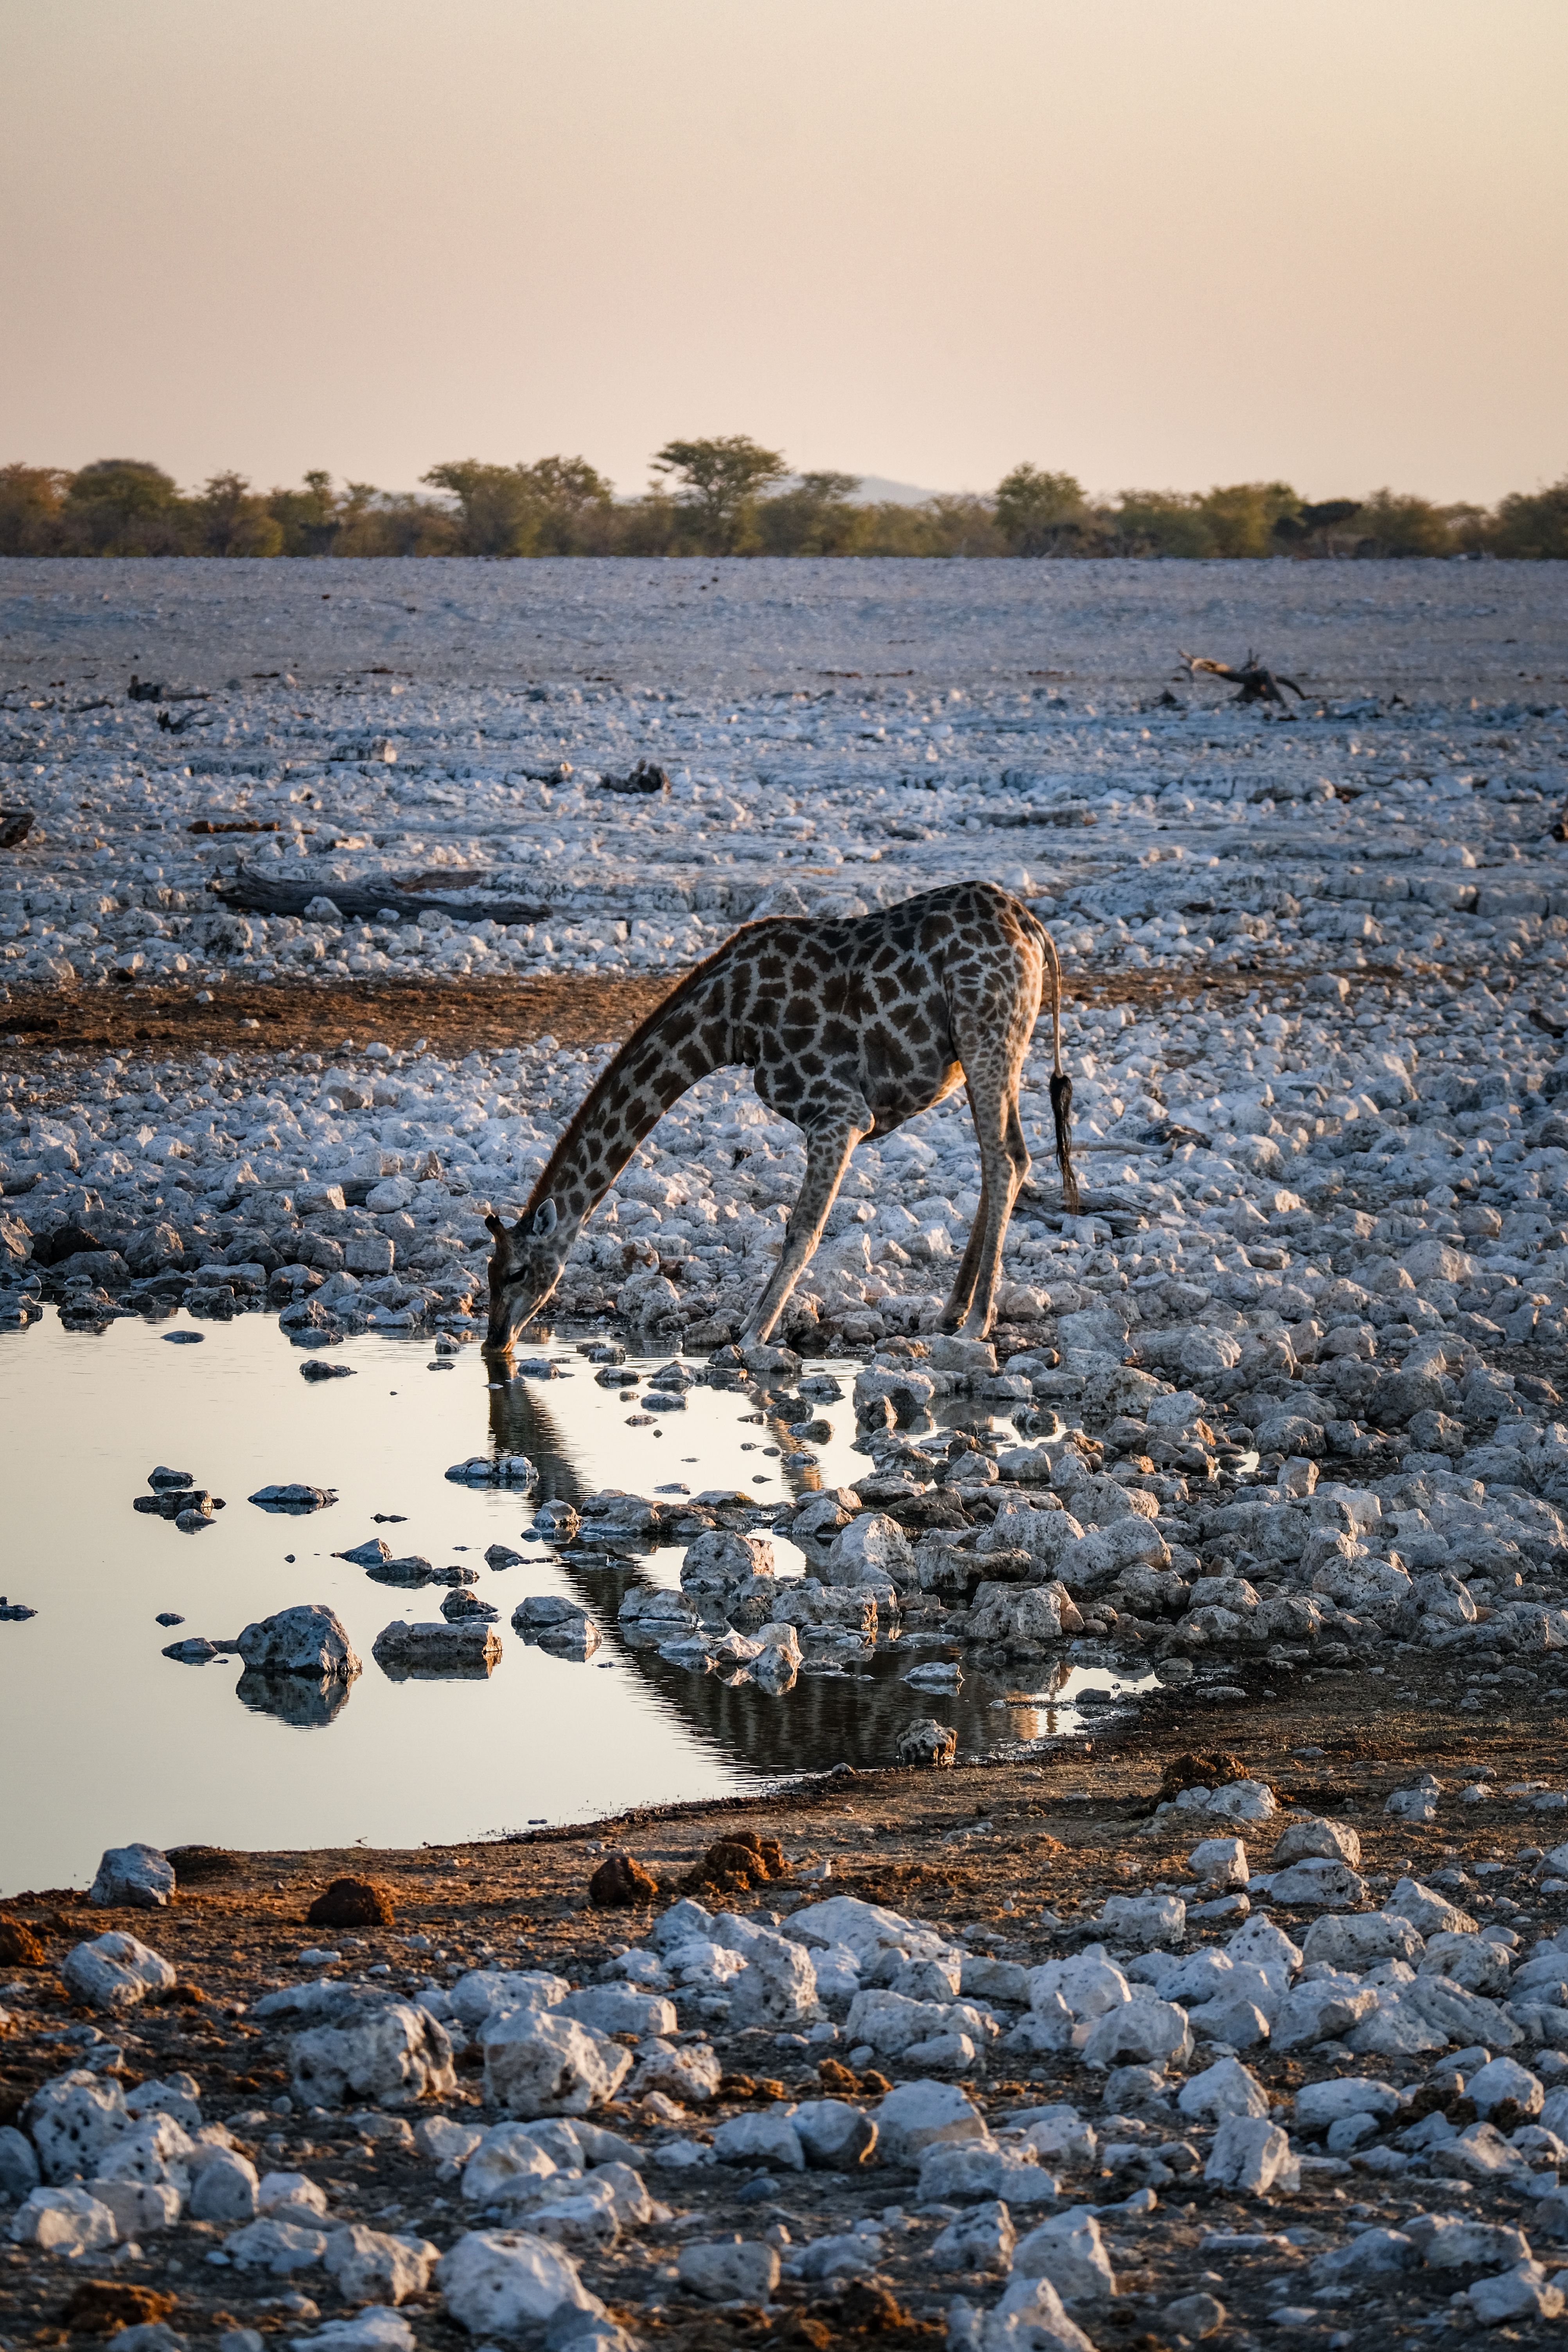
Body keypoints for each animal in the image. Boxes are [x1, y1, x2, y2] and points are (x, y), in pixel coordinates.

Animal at [485, 880, 1078, 1352]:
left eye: (515, 1272)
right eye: (487, 1273)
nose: (495, 1342)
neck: (727, 1024)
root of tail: (1033, 929)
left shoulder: (839, 1113)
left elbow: (801, 1229)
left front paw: (754, 1333)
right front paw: (750, 1322)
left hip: (984, 1035)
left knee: (1002, 1160)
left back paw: (976, 1322)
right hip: (996, 1047)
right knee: (1011, 1157)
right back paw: (951, 1311)